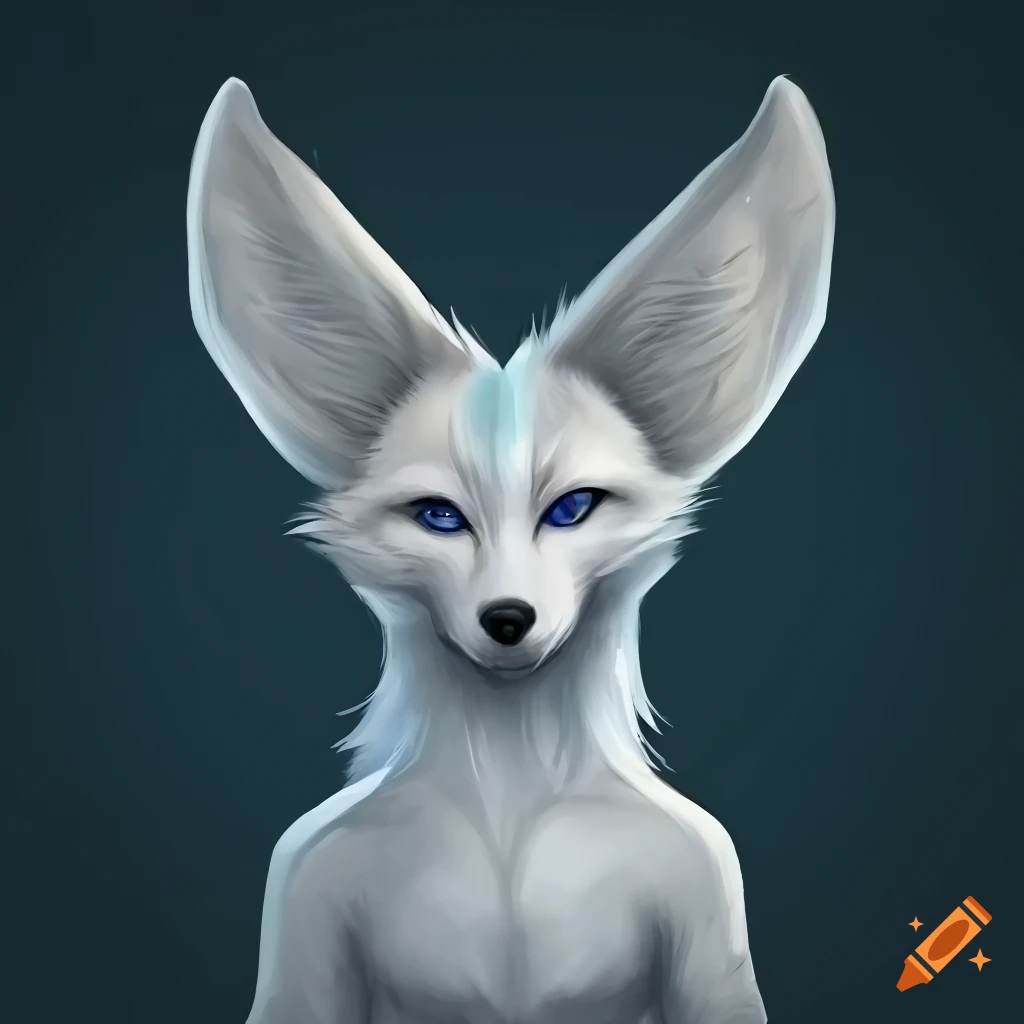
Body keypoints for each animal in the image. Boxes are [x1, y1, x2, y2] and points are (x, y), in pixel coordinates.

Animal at [187, 74, 834, 1024]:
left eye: (572, 508)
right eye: (437, 517)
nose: (507, 618)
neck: (510, 803)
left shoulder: (709, 884)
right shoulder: (301, 883)